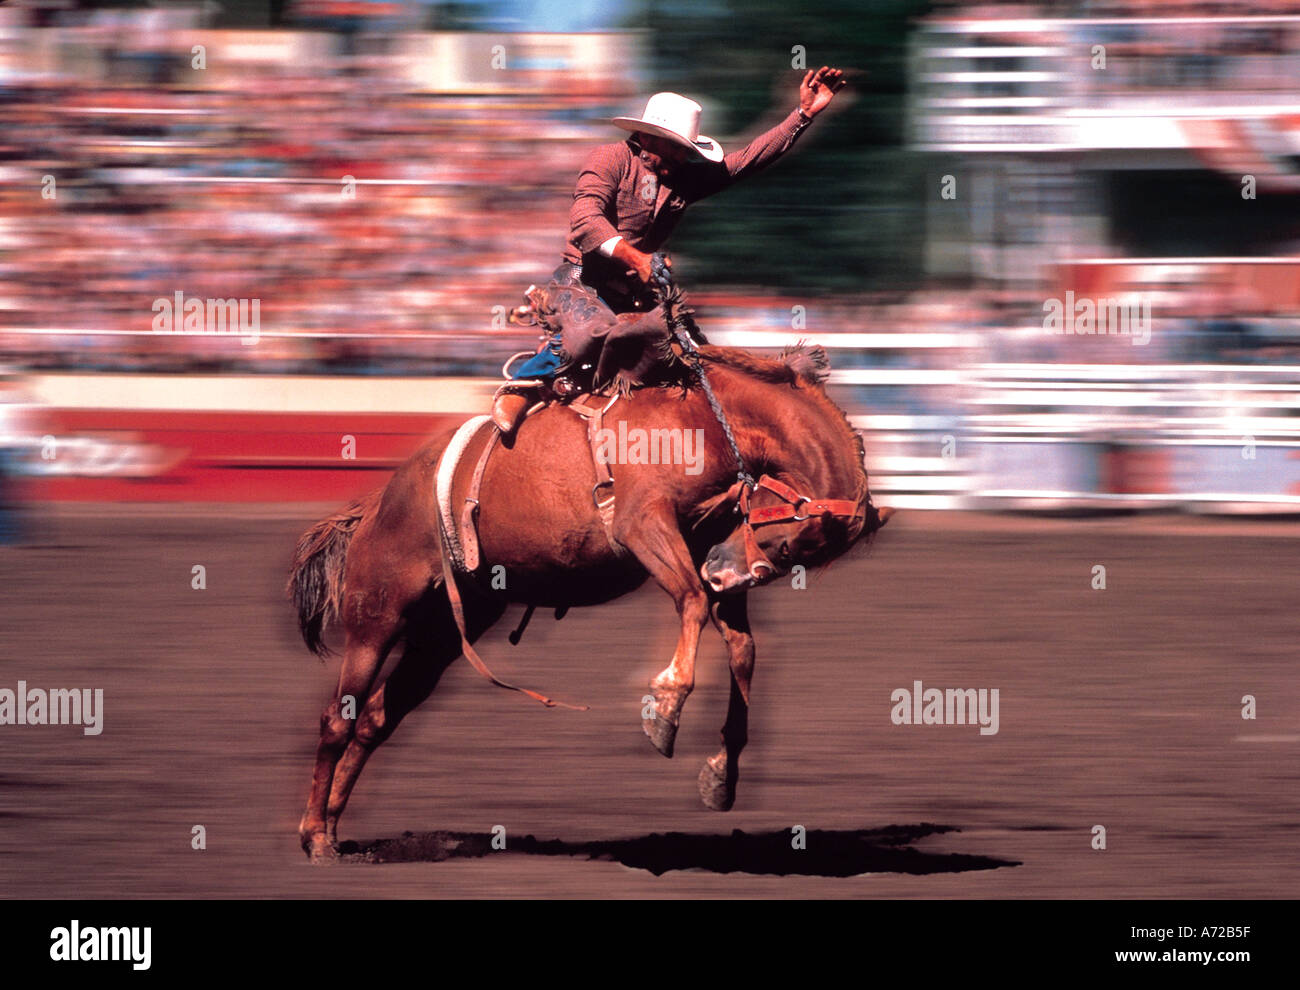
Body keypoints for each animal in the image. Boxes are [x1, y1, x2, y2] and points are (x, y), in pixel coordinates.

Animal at [287, 341, 889, 862]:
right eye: (789, 541)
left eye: (798, 556)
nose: (725, 575)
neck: (703, 419)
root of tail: (376, 505)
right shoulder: (643, 525)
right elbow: (692, 602)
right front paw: (665, 707)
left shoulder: (703, 542)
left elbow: (741, 647)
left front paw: (721, 773)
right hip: (379, 613)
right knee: (337, 718)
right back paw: (314, 837)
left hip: (446, 631)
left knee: (375, 718)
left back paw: (335, 828)